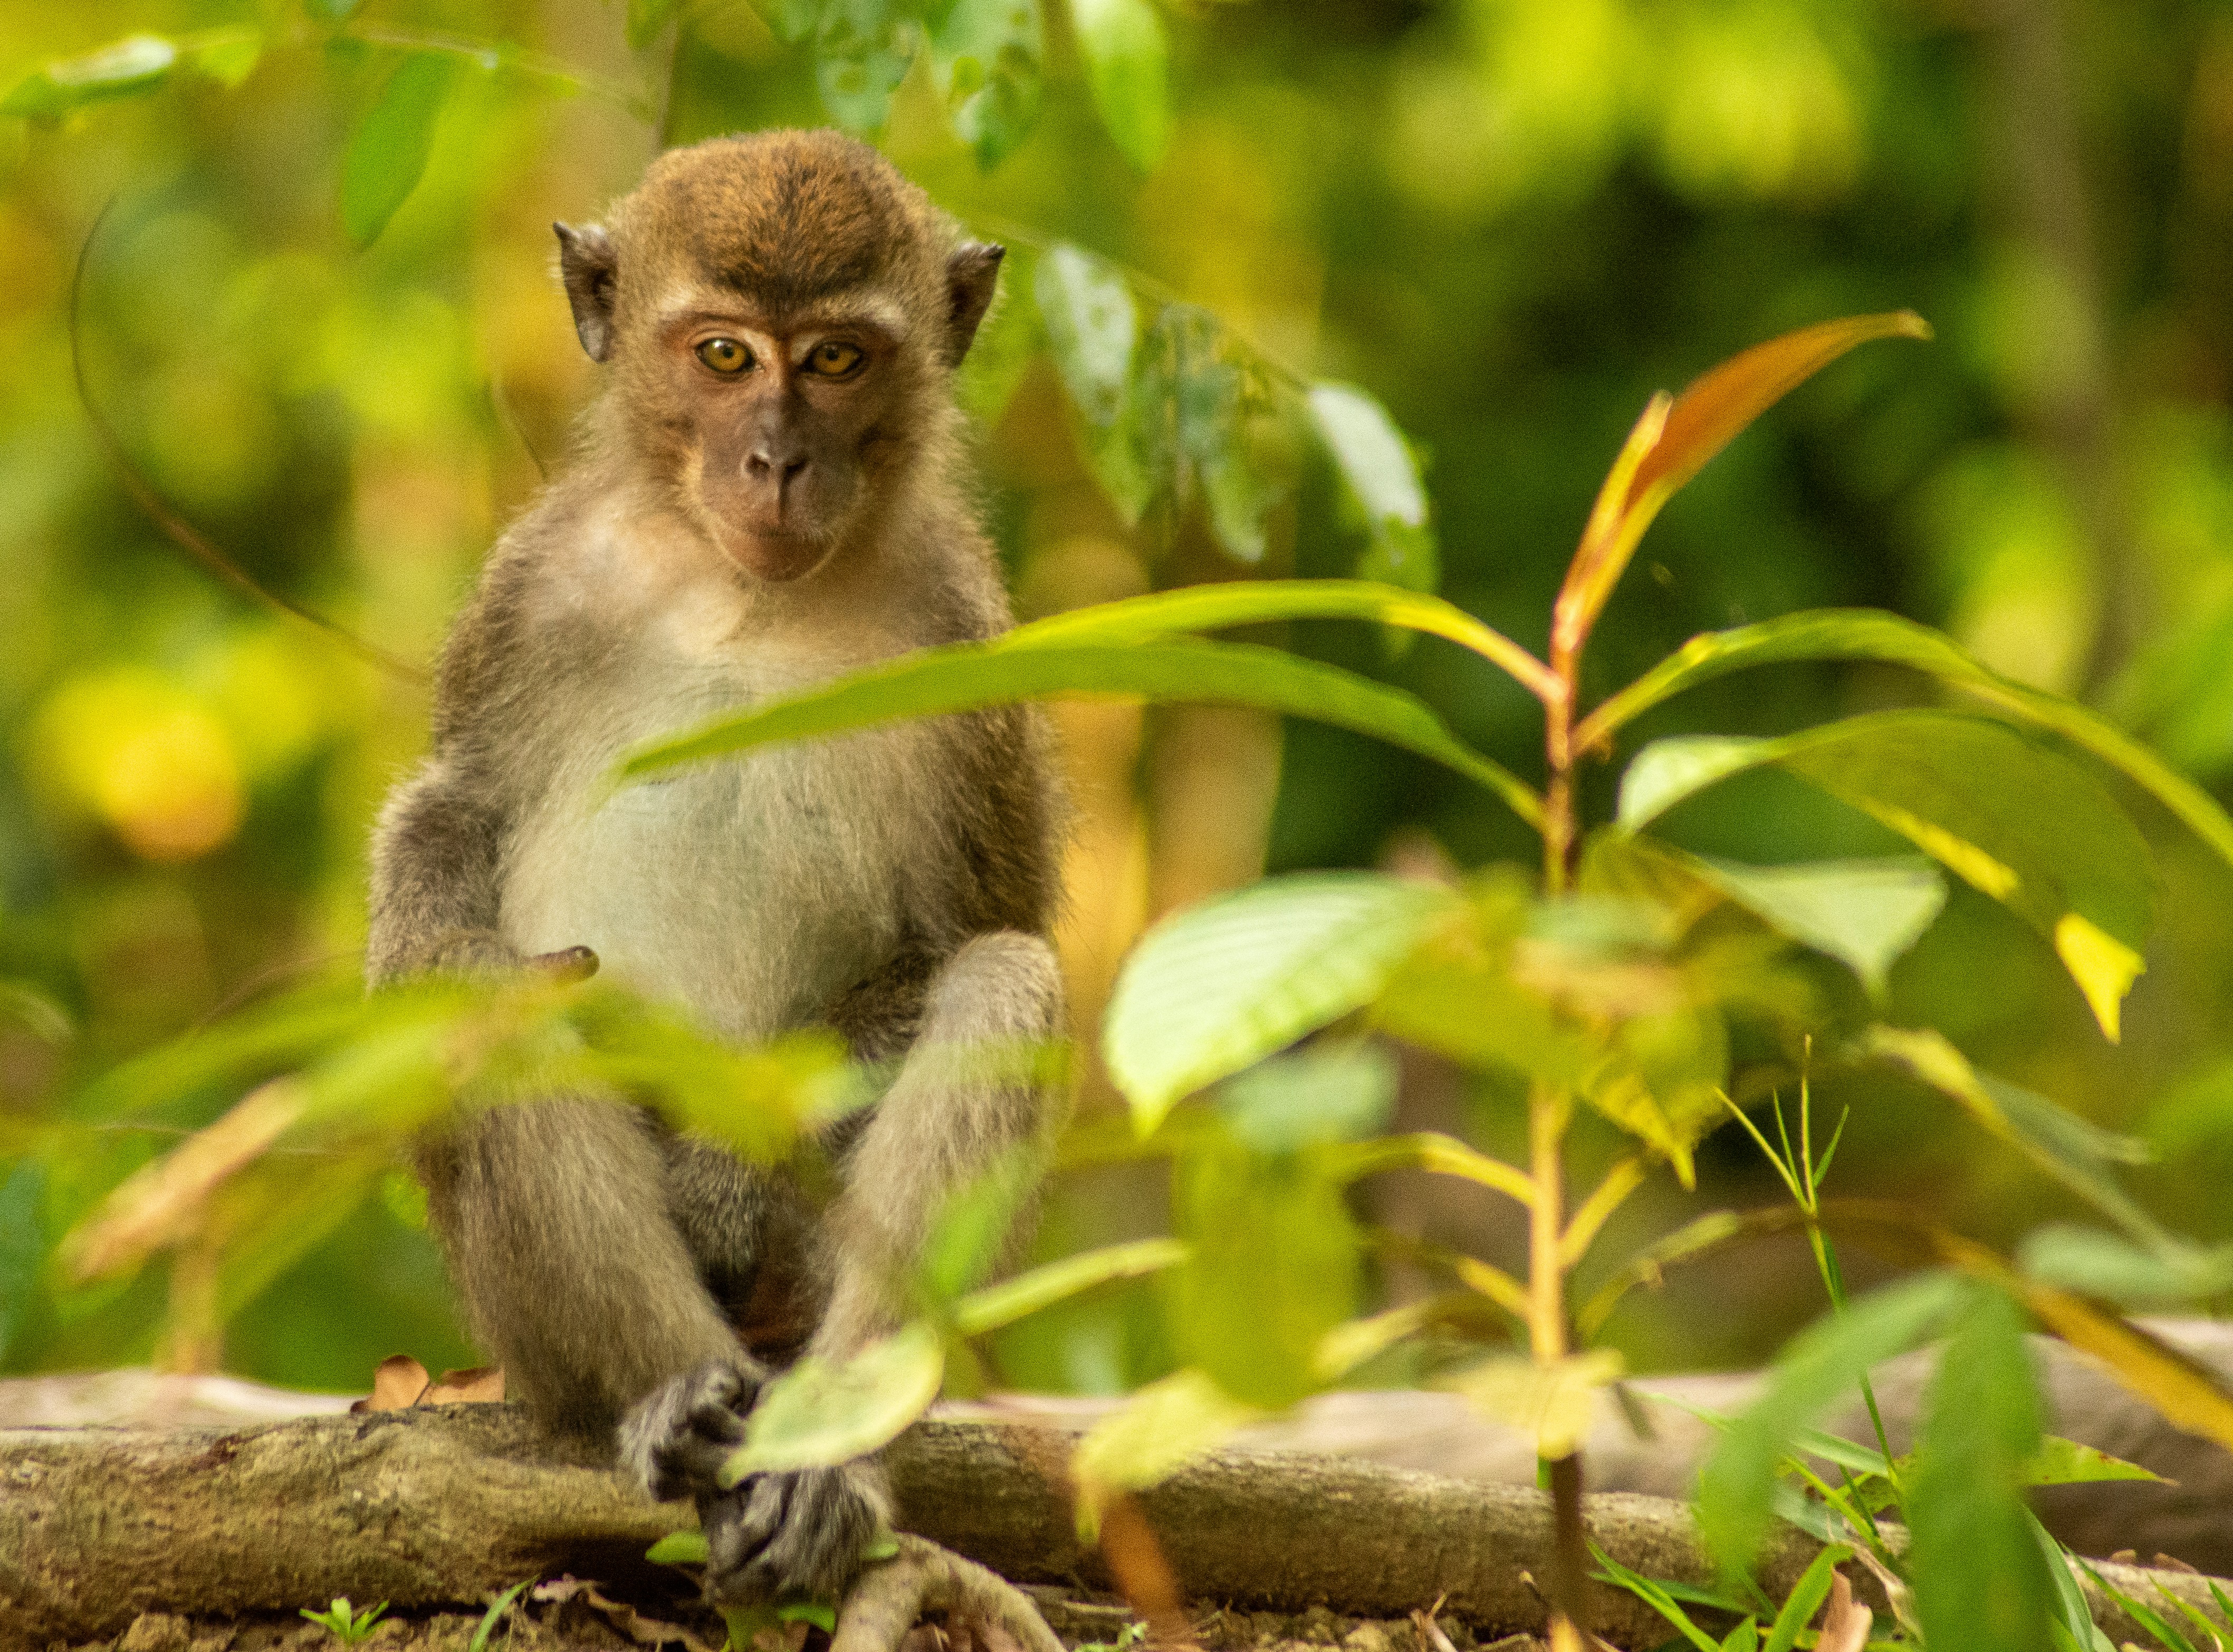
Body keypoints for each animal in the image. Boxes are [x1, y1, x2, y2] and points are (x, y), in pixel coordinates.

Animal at [364, 129, 1064, 1607]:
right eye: (726, 356)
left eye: (839, 360)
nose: (774, 461)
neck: (746, 592)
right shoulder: (531, 588)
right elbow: (448, 826)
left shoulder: (967, 642)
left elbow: (975, 925)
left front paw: (725, 1183)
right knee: (485, 985)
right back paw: (670, 1401)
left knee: (1005, 981)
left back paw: (823, 1457)